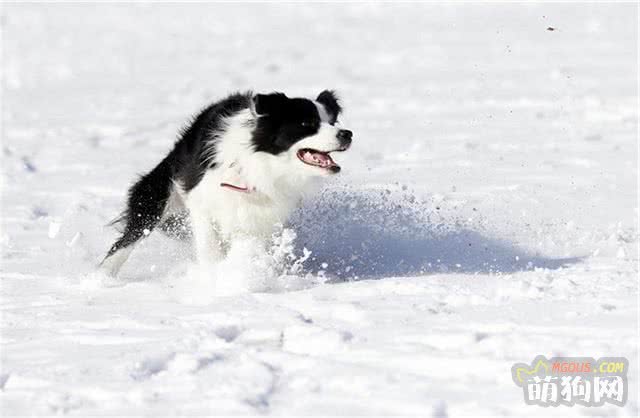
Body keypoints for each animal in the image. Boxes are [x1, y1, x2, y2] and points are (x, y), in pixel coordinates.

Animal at [101, 90, 350, 276]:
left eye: (332, 121)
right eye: (307, 123)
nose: (347, 134)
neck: (259, 164)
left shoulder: (261, 216)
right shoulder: (201, 201)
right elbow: (209, 247)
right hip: (158, 194)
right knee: (130, 236)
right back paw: (102, 278)